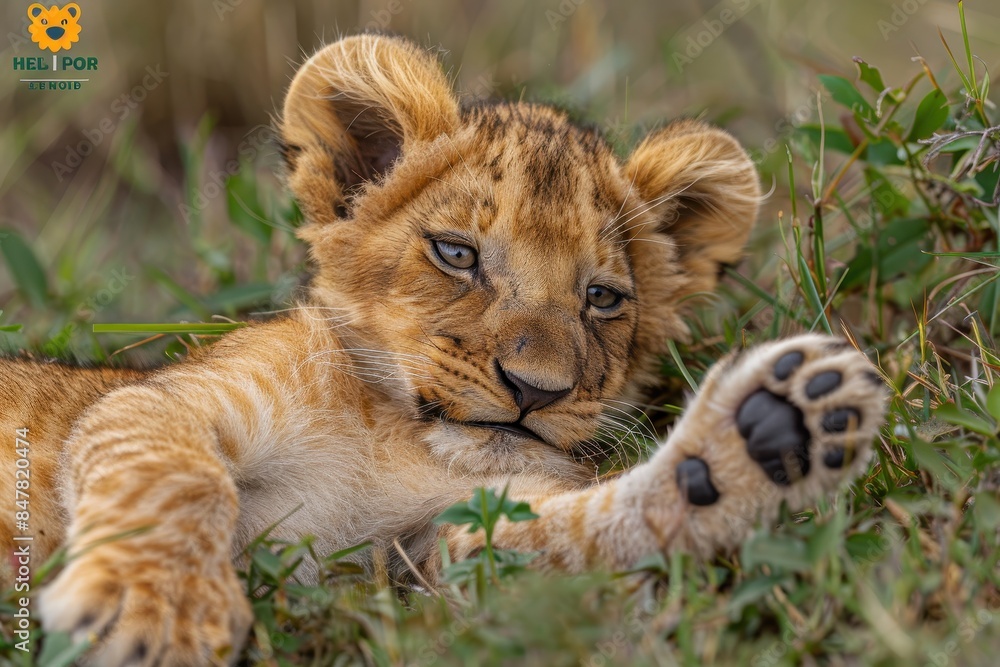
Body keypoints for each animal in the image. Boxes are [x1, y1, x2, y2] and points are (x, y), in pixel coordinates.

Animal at [0, 34, 886, 665]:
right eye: (457, 254)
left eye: (602, 298)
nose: (535, 388)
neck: (396, 434)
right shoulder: (169, 397)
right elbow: (173, 475)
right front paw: (160, 613)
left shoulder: (428, 556)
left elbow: (577, 532)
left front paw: (763, 439)